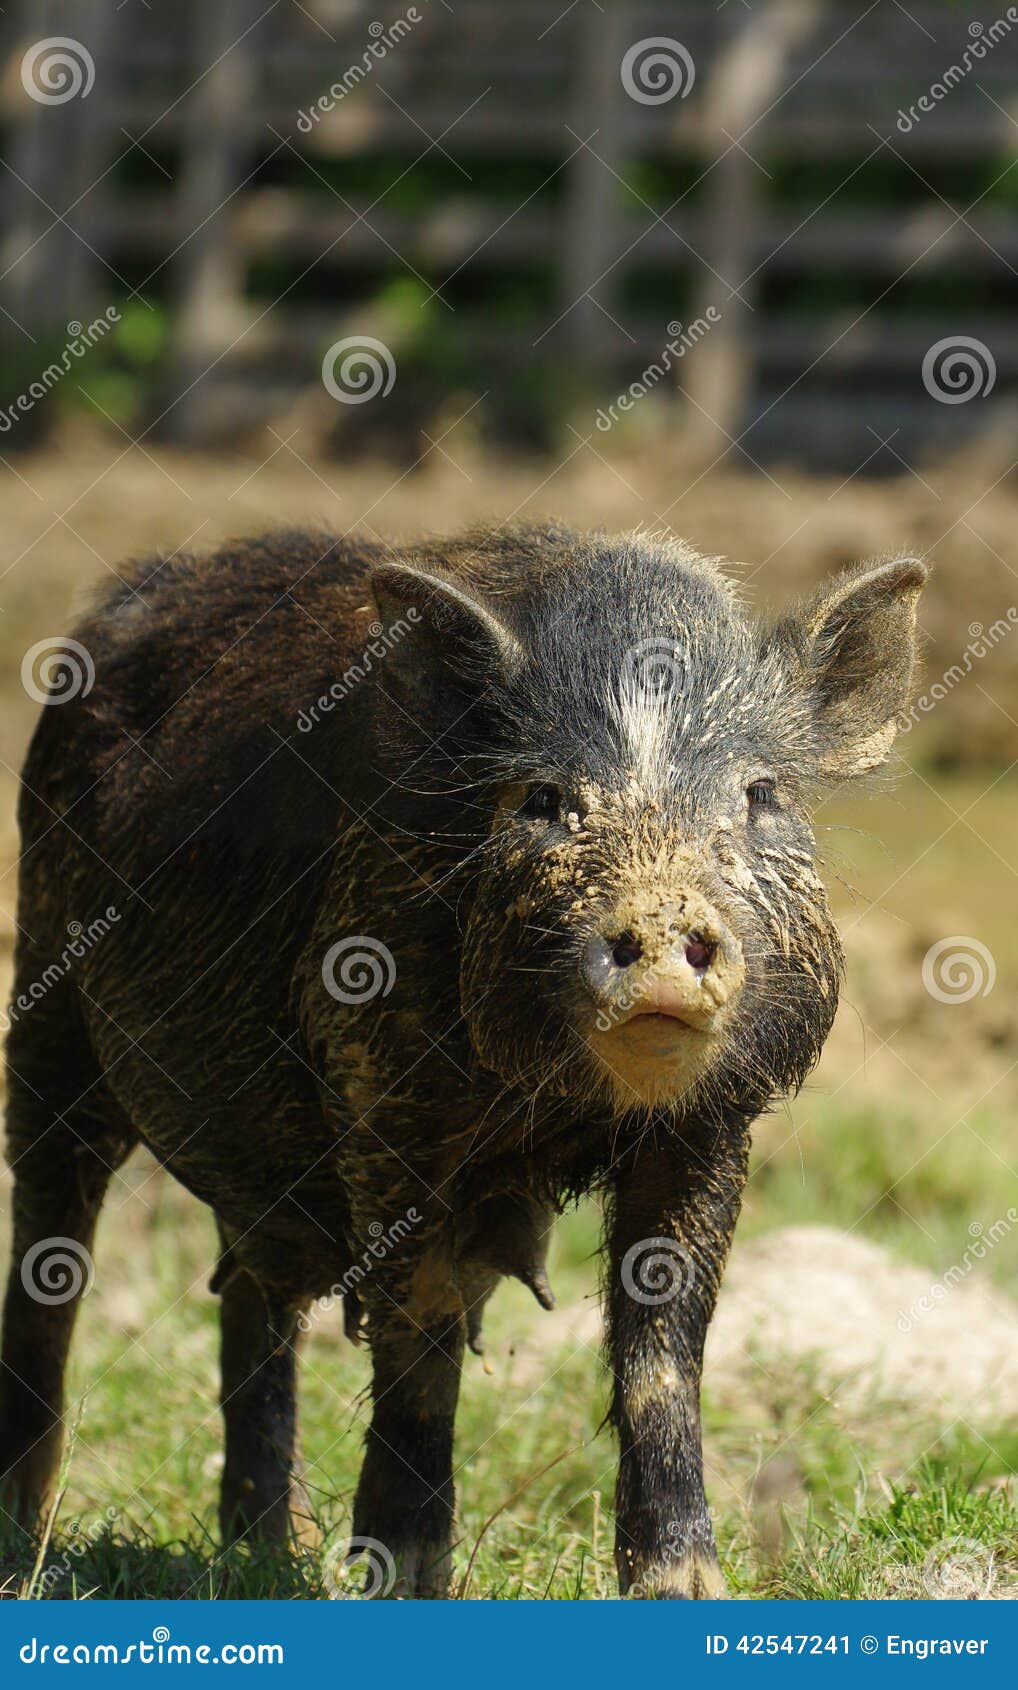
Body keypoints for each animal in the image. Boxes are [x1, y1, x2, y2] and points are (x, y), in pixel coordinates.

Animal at [0, 523, 925, 1597]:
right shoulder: (384, 1099)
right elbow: (422, 1331)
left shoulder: (708, 1128)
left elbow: (666, 1339)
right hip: (47, 1006)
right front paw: (406, 1580)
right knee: (49, 1252)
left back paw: (271, 1554)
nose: (659, 915)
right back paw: (29, 1543)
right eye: (544, 799)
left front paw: (686, 1589)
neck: (566, 1106)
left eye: (760, 794)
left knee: (255, 1298)